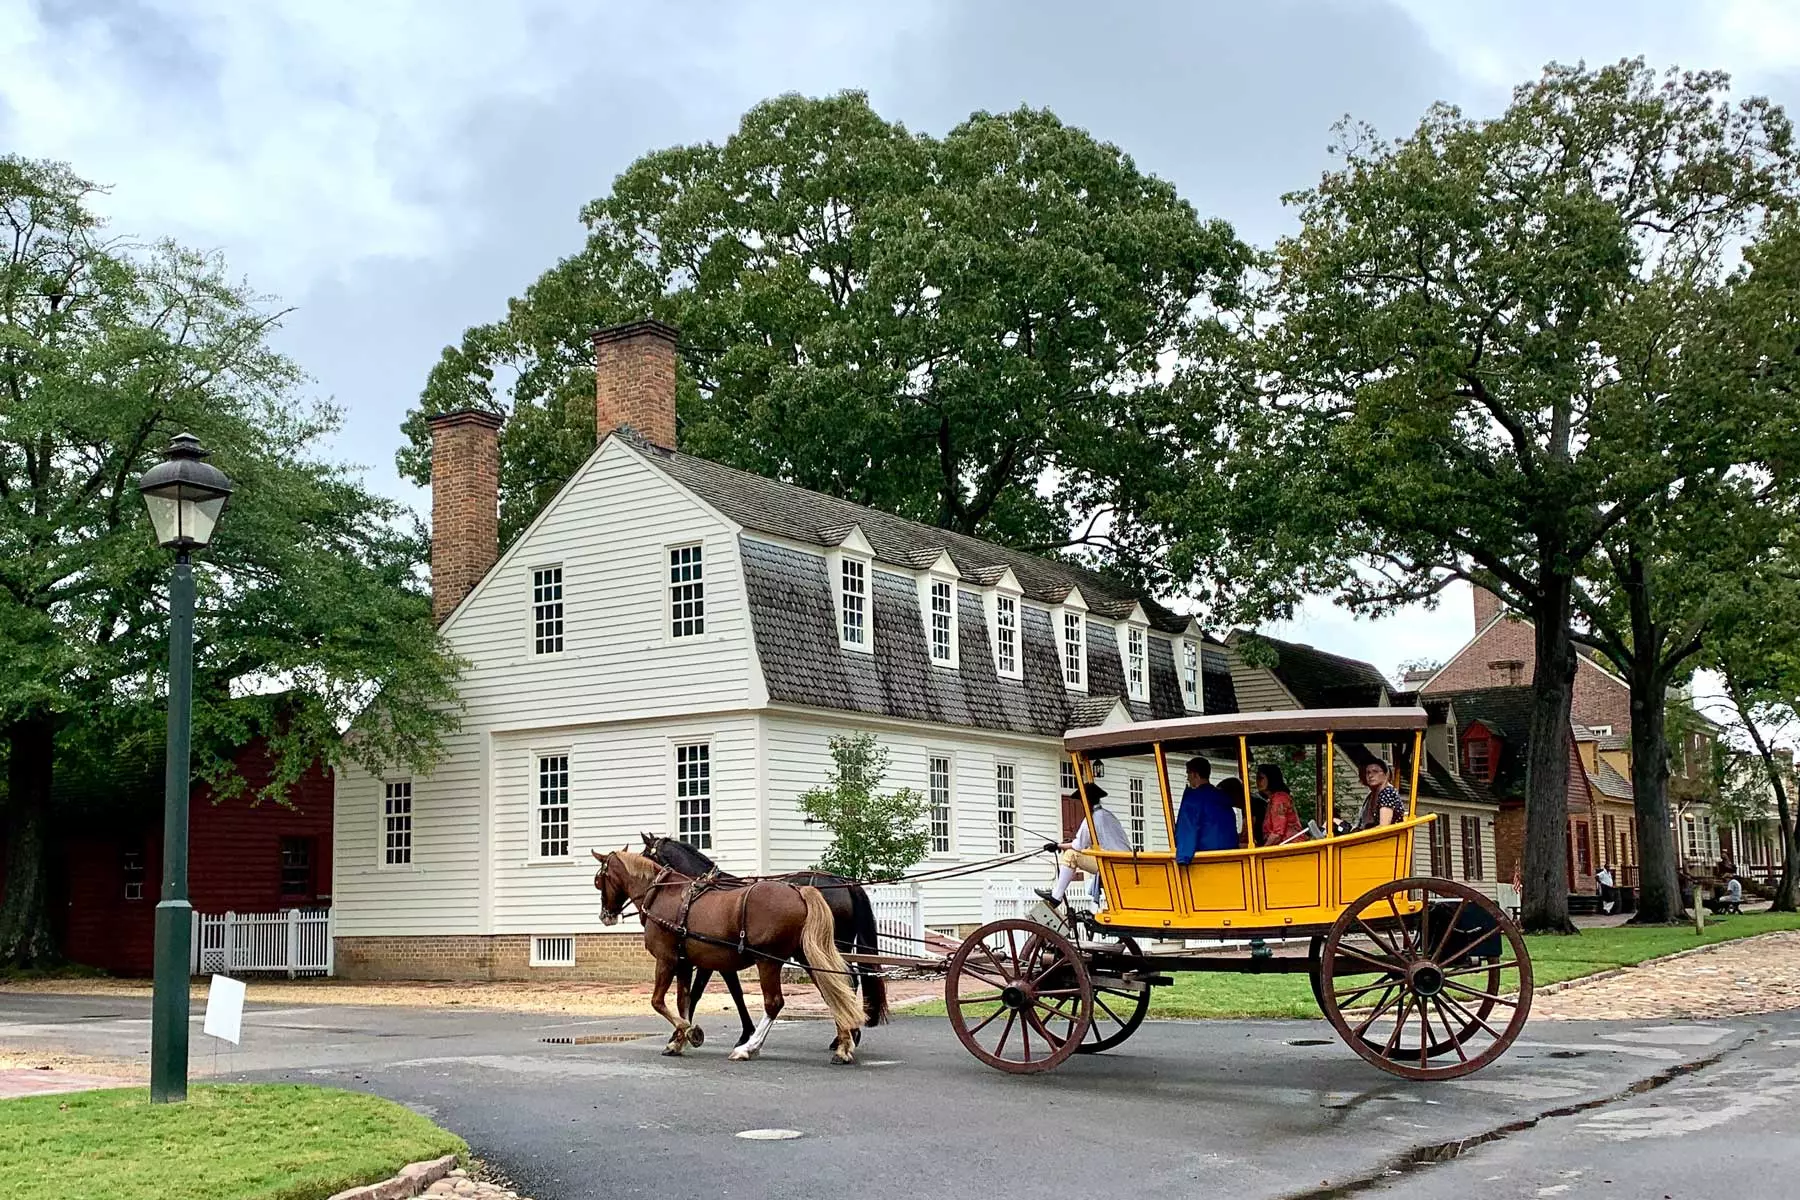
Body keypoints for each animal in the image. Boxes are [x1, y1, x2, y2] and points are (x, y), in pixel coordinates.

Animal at [594, 849, 867, 1065]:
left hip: (768, 961)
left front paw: (689, 1032)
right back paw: (844, 1044)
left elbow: (659, 1002)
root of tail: (799, 891)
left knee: (775, 1003)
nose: (605, 915)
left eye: (599, 880)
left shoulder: (667, 960)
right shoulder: (686, 963)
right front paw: (678, 1040)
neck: (662, 895)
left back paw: (749, 1048)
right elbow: (685, 1001)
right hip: (806, 956)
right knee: (836, 990)